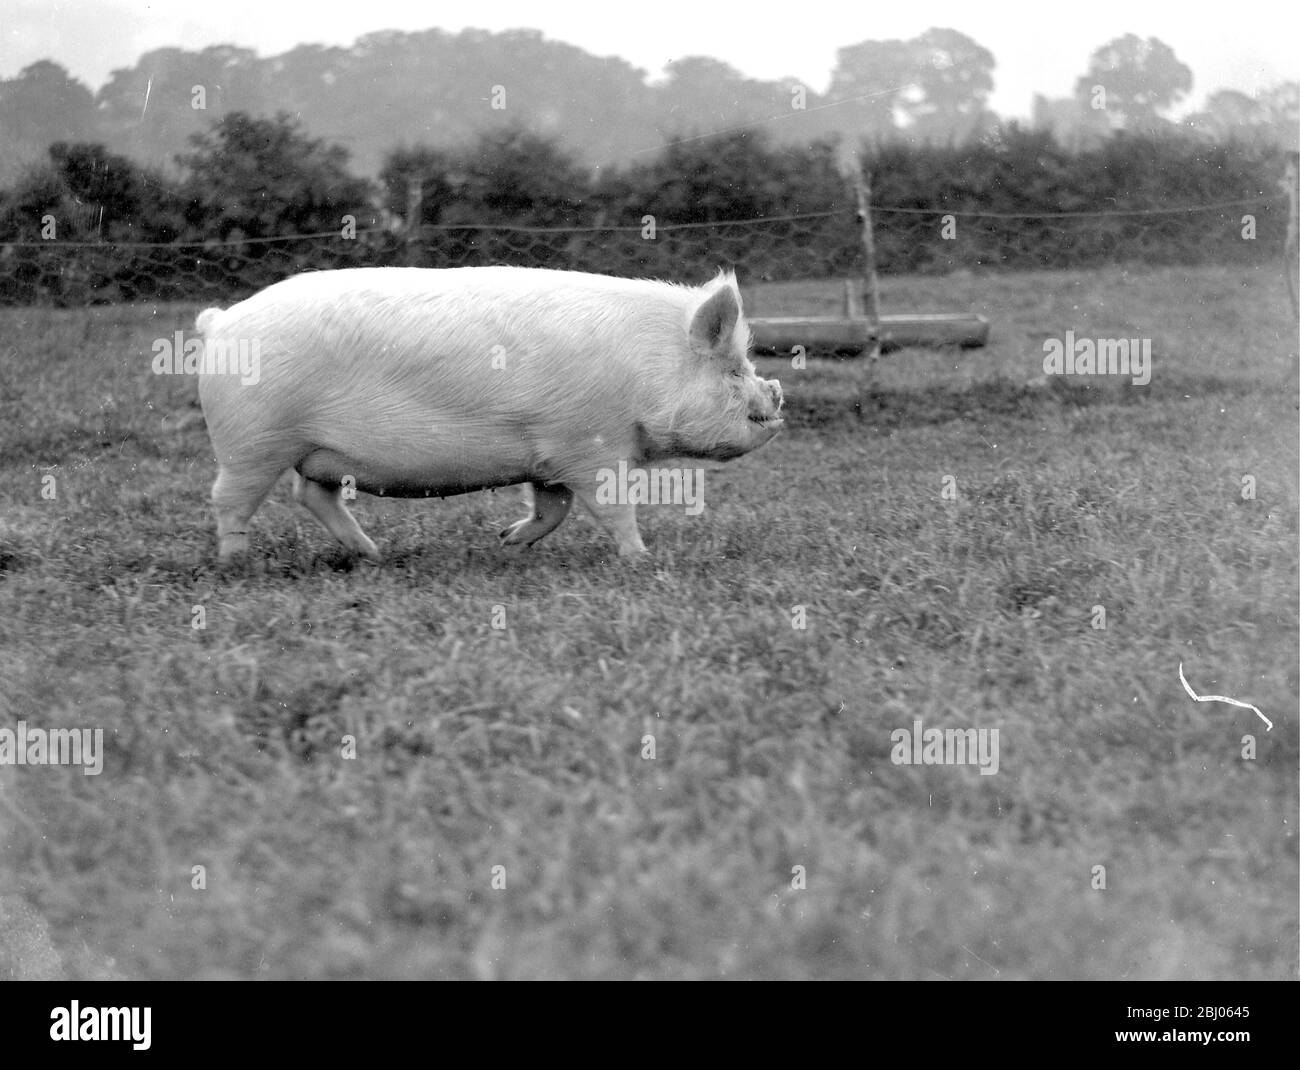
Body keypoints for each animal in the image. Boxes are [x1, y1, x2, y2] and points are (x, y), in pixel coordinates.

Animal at [195, 266, 784, 562]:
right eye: (734, 372)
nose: (778, 400)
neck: (647, 369)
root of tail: (220, 321)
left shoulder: (550, 454)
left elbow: (553, 509)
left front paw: (505, 541)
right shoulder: (588, 443)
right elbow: (614, 506)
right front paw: (642, 559)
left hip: (312, 450)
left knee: (311, 494)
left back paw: (373, 554)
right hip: (253, 440)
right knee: (229, 498)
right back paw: (235, 563)